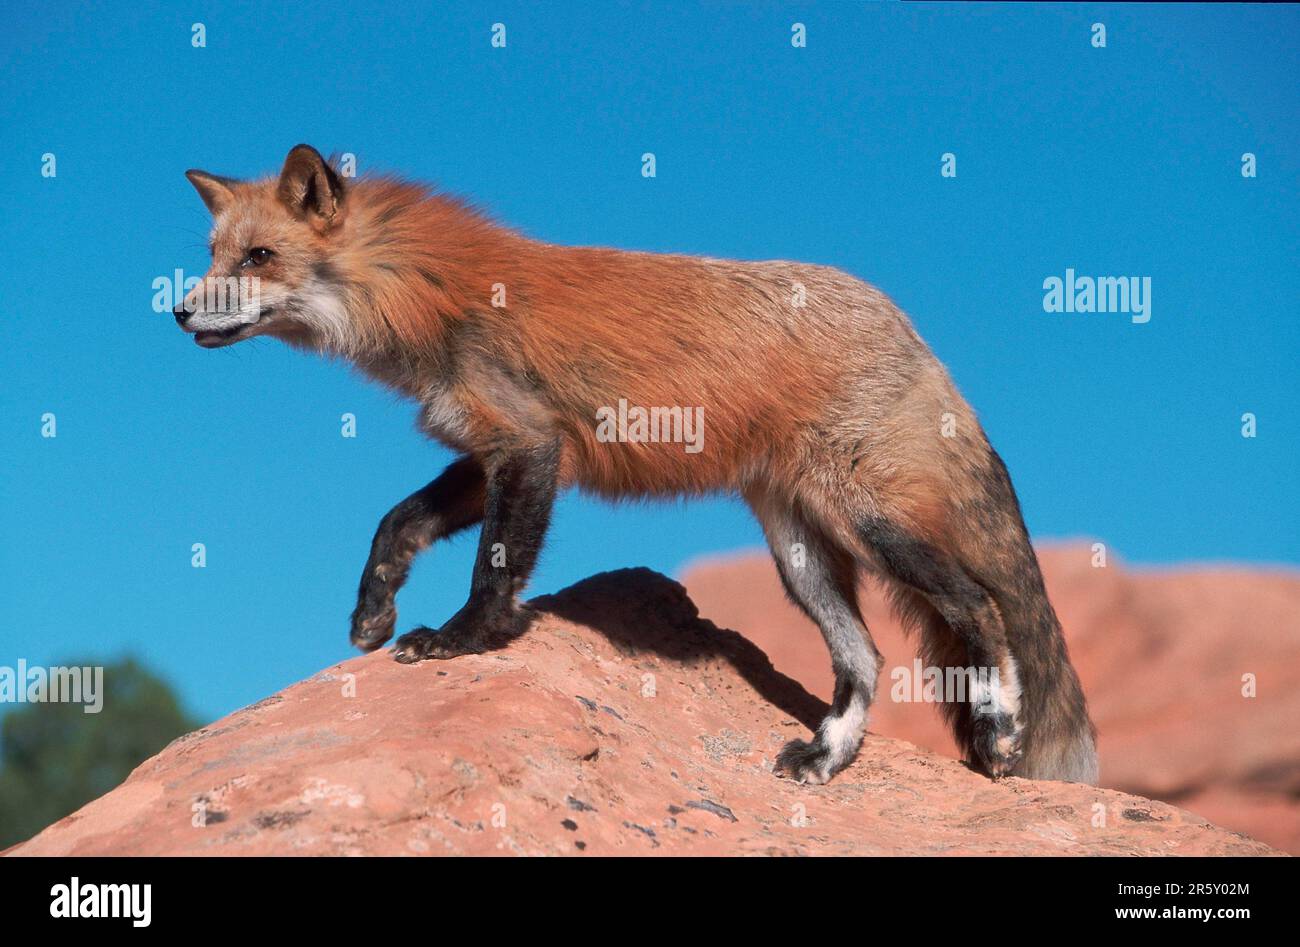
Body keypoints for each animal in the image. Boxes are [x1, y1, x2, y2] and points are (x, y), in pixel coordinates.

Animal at [176, 144, 1097, 785]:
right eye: (216, 254)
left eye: (257, 258)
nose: (178, 309)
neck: (431, 291)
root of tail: (911, 327)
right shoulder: (488, 448)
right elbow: (394, 523)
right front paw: (374, 611)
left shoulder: (531, 445)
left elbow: (492, 570)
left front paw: (461, 641)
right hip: (799, 553)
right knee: (865, 659)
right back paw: (826, 758)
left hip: (871, 522)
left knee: (980, 605)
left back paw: (998, 730)